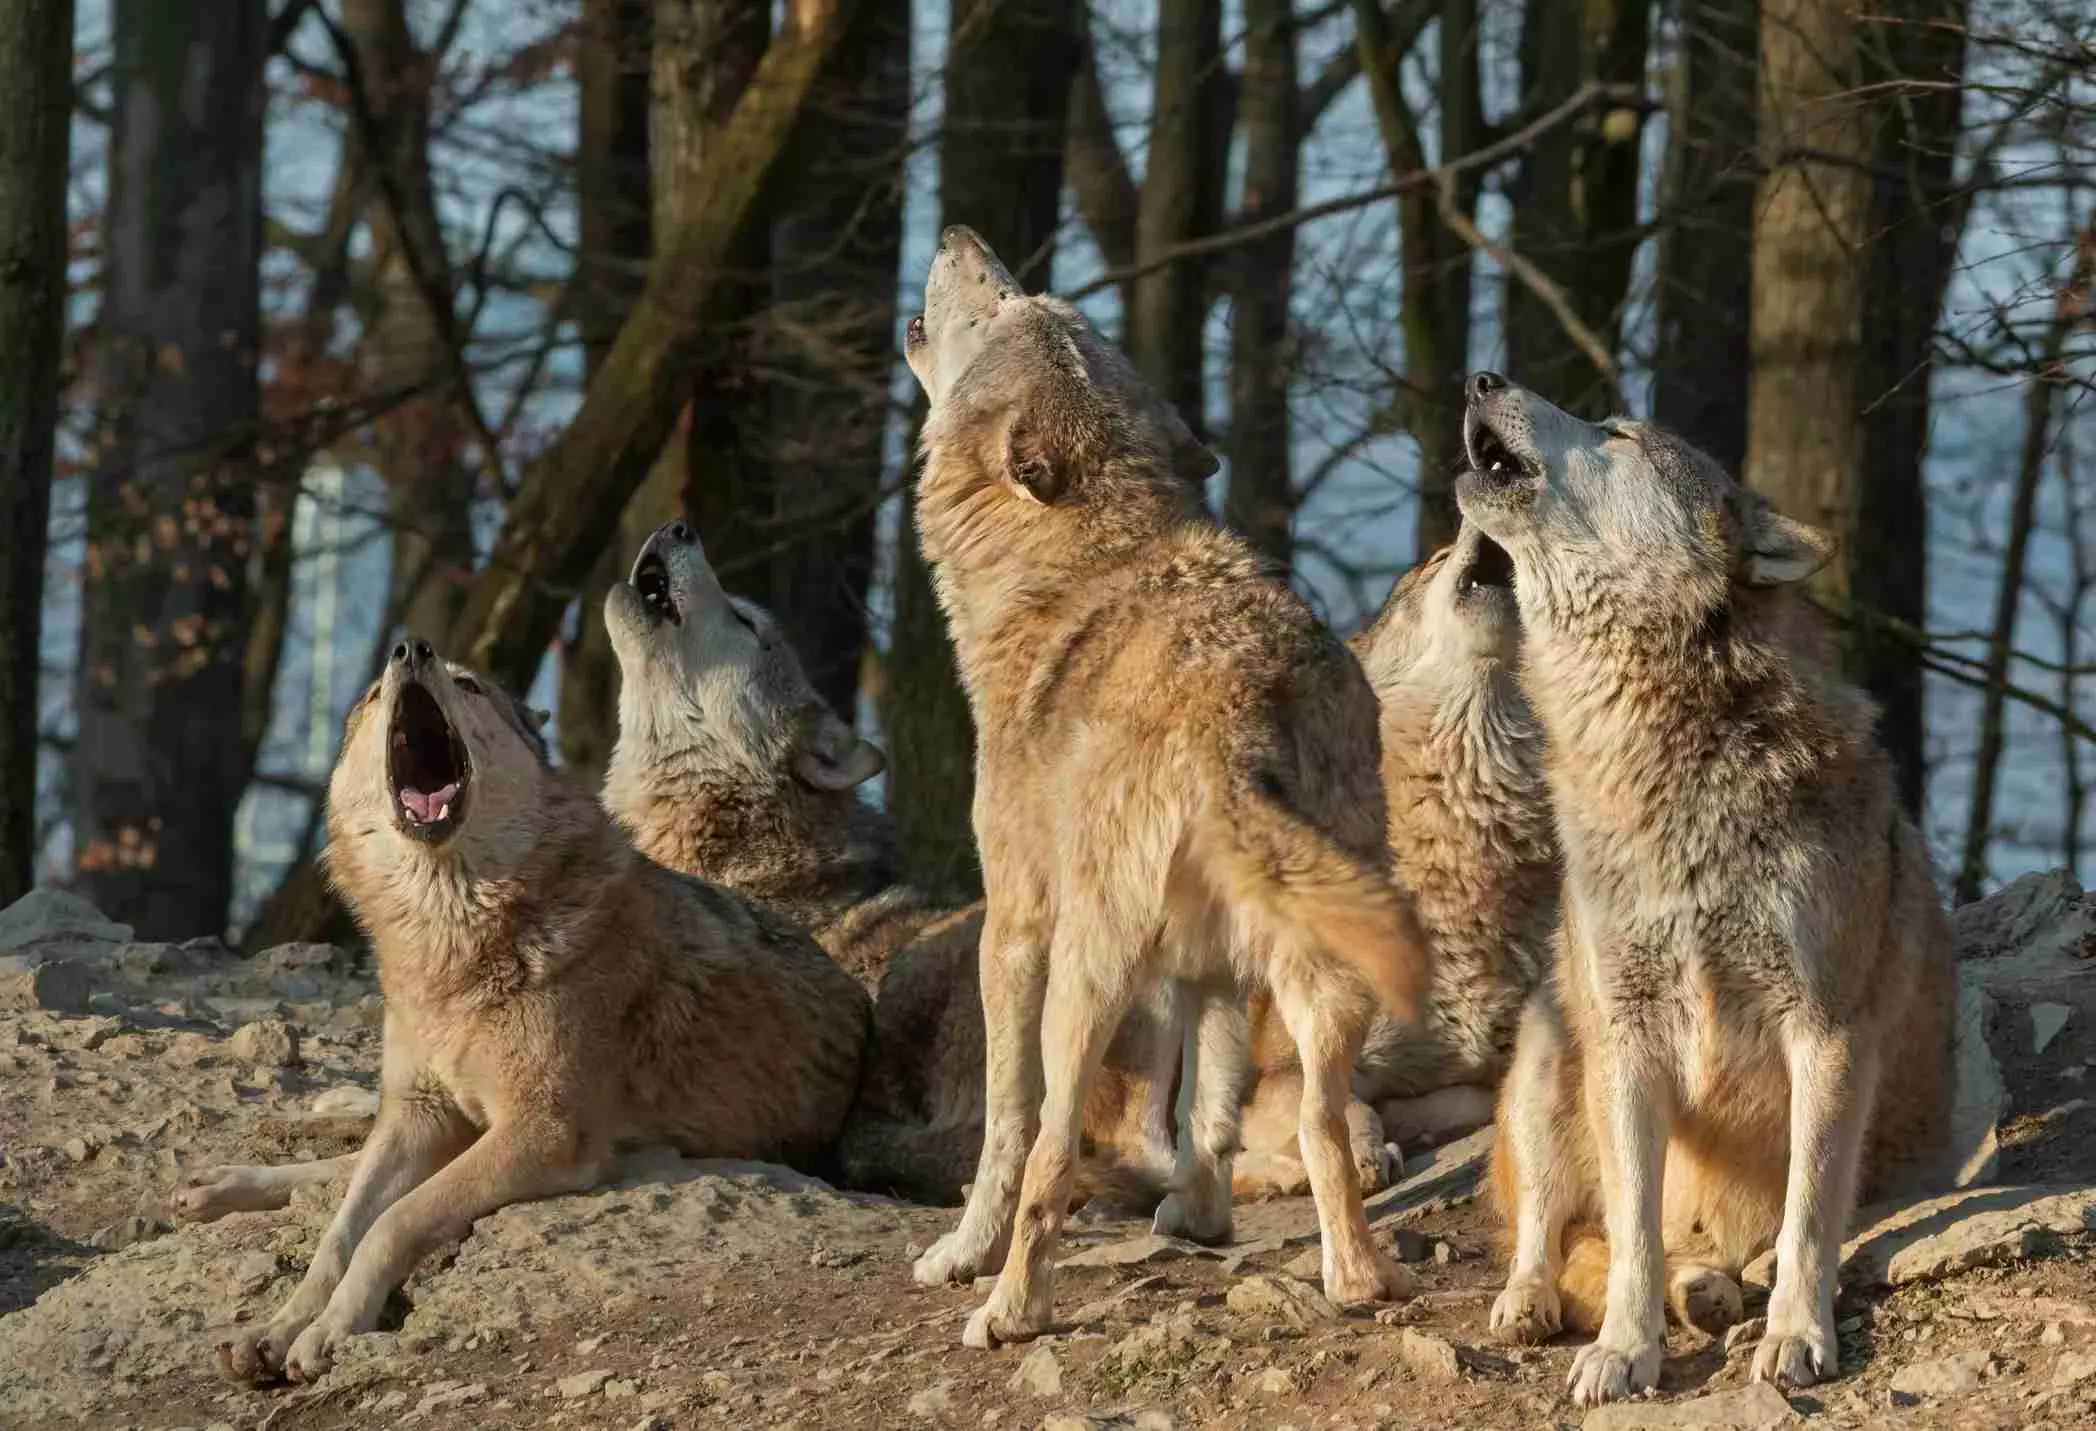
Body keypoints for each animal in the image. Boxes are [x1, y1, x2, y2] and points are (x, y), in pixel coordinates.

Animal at [214, 645, 867, 1382]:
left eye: (468, 684)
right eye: (377, 693)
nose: (412, 649)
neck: (452, 936)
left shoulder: (542, 1130)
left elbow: (392, 1221)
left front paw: (328, 1331)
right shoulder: (417, 1112)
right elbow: (339, 1232)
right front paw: (278, 1325)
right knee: (341, 1170)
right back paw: (213, 1187)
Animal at [897, 229, 1425, 1349]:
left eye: (1009, 307)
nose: (960, 236)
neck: (1071, 560)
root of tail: (1244, 704)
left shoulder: (1013, 926)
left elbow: (1005, 1129)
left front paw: (960, 1254)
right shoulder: (1208, 966)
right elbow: (1207, 1108)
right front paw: (1198, 1215)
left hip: (1087, 975)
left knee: (1053, 1150)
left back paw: (1009, 1311)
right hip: (1327, 965)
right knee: (1321, 1120)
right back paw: (1359, 1279)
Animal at [1458, 372, 1961, 1407]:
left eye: (1616, 432)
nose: (1484, 377)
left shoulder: (1828, 1033)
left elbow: (1810, 1215)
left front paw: (1798, 1333)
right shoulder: (1629, 1035)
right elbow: (1633, 1239)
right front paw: (1625, 1349)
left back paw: (1728, 1285)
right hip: (1549, 1046)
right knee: (1553, 1227)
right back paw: (1542, 1300)